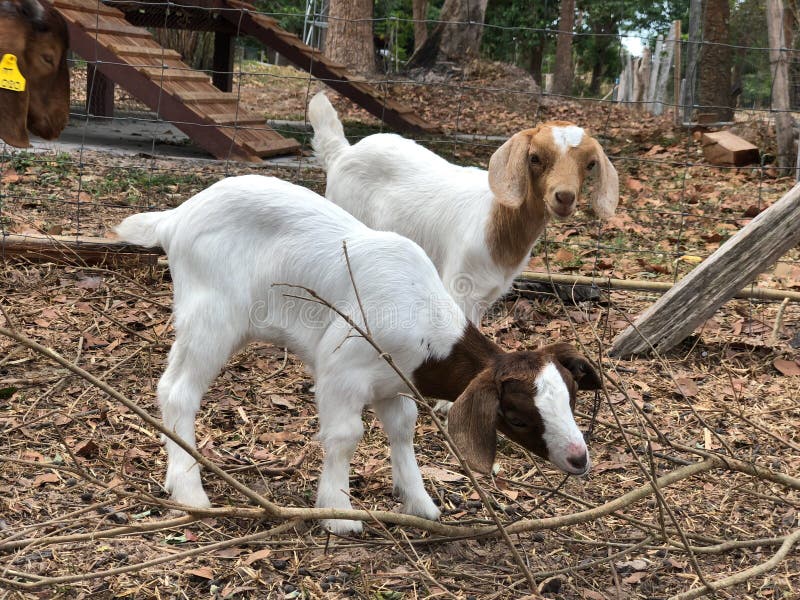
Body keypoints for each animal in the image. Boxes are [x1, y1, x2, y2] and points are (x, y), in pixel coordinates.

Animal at [116, 175, 601, 535]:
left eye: (572, 398)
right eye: (515, 416)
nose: (579, 459)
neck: (425, 325)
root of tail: (175, 219)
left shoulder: (395, 383)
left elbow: (403, 430)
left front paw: (420, 503)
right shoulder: (342, 371)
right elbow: (346, 435)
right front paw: (337, 513)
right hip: (211, 315)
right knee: (177, 390)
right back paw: (190, 491)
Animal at [308, 92, 619, 323]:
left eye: (590, 164)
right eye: (534, 158)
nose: (564, 197)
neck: (497, 219)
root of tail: (341, 154)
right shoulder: (460, 288)